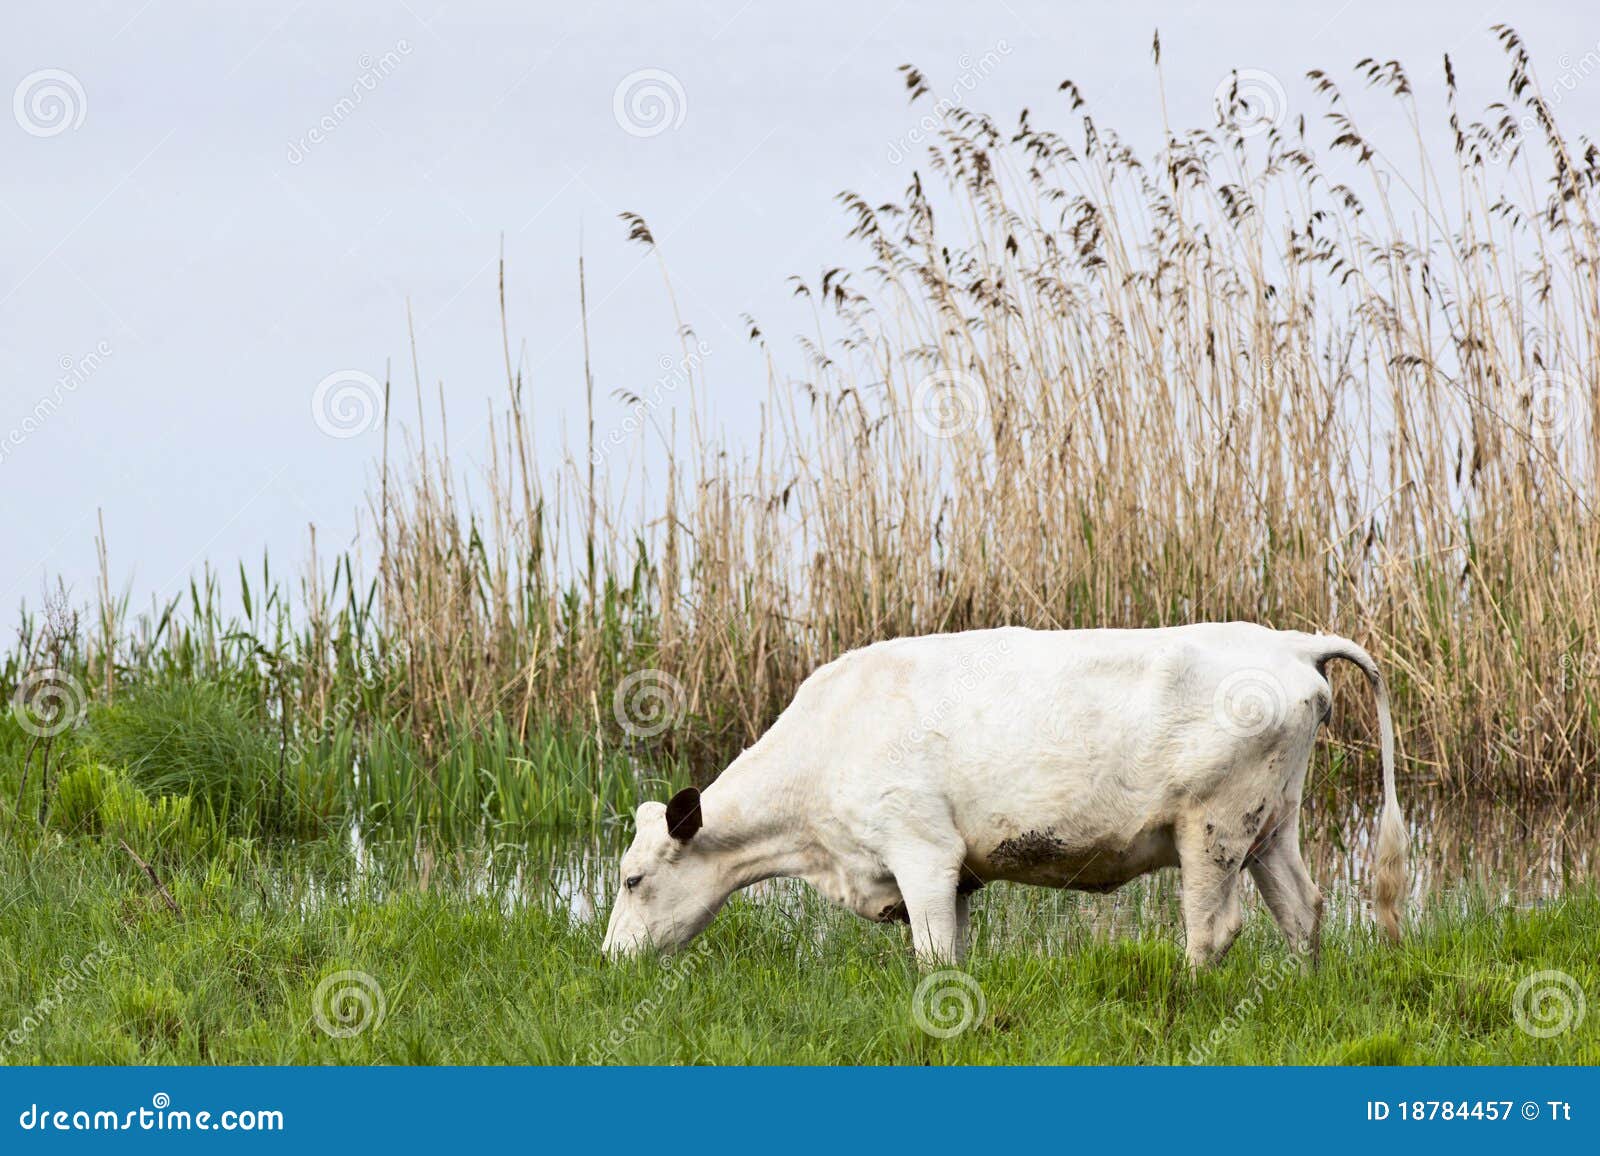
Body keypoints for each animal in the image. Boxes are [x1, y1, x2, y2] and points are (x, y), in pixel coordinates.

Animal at [601, 623, 1407, 968]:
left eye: (633, 879)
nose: (609, 958)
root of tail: (1290, 642)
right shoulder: (957, 872)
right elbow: (956, 950)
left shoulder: (921, 850)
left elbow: (932, 956)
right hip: (1273, 825)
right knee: (1303, 912)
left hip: (1215, 826)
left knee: (1213, 931)